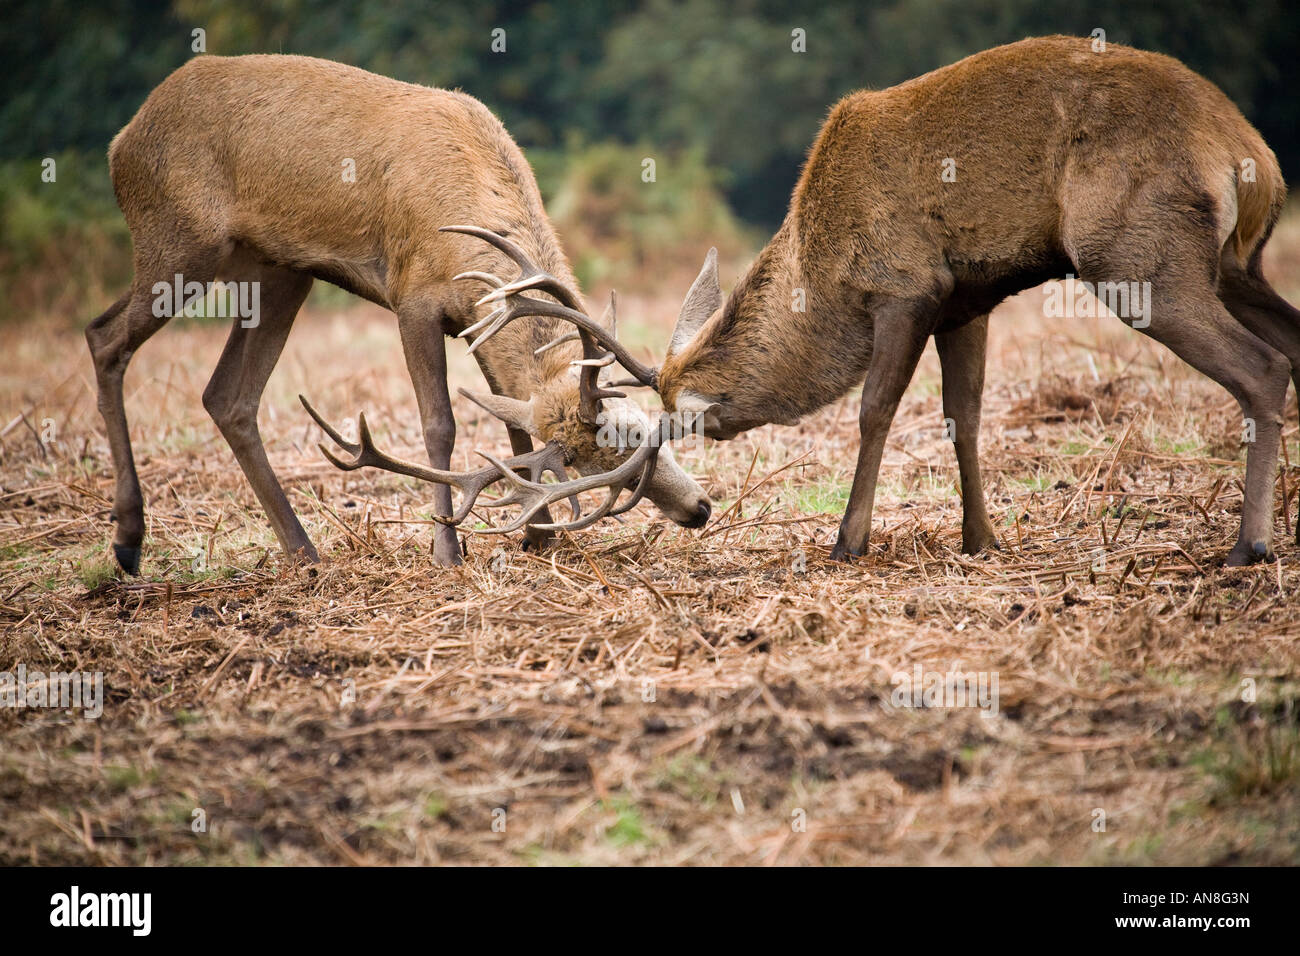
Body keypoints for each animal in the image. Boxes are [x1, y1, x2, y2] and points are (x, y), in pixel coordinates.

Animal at [85, 54, 711, 575]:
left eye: (634, 428)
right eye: (601, 450)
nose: (700, 508)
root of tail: (121, 141)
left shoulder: (480, 322)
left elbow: (512, 421)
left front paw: (537, 533)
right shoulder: (413, 298)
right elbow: (440, 425)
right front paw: (448, 548)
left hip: (280, 271)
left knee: (226, 397)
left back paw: (302, 550)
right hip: (179, 239)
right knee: (103, 335)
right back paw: (128, 539)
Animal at [457, 35, 1300, 568]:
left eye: (644, 438)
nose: (698, 509)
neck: (822, 273)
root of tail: (1250, 156)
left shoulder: (906, 286)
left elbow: (874, 411)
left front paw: (847, 541)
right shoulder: (969, 300)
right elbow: (965, 415)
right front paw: (981, 539)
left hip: (1137, 256)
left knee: (1261, 366)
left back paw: (1247, 545)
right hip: (1239, 264)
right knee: (1289, 343)